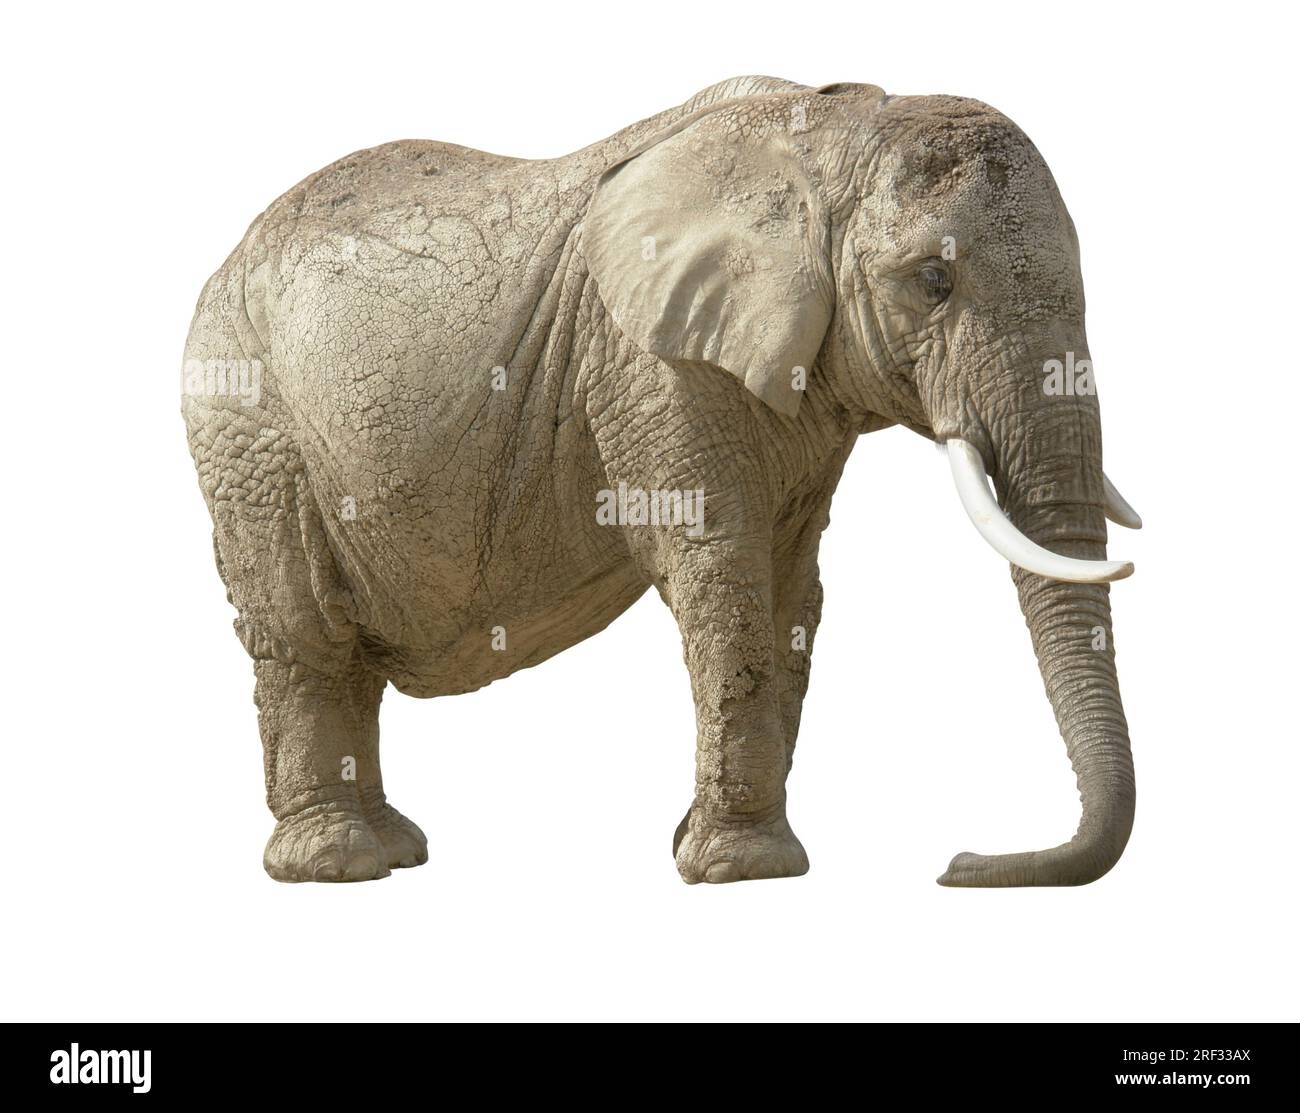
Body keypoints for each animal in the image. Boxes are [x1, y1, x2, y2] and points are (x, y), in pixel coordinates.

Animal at [182, 75, 1142, 886]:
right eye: (933, 280)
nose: (955, 863)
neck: (831, 130)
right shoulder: (651, 364)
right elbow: (722, 573)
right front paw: (743, 870)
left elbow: (792, 589)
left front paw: (704, 845)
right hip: (248, 421)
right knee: (302, 623)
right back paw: (339, 863)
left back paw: (395, 848)